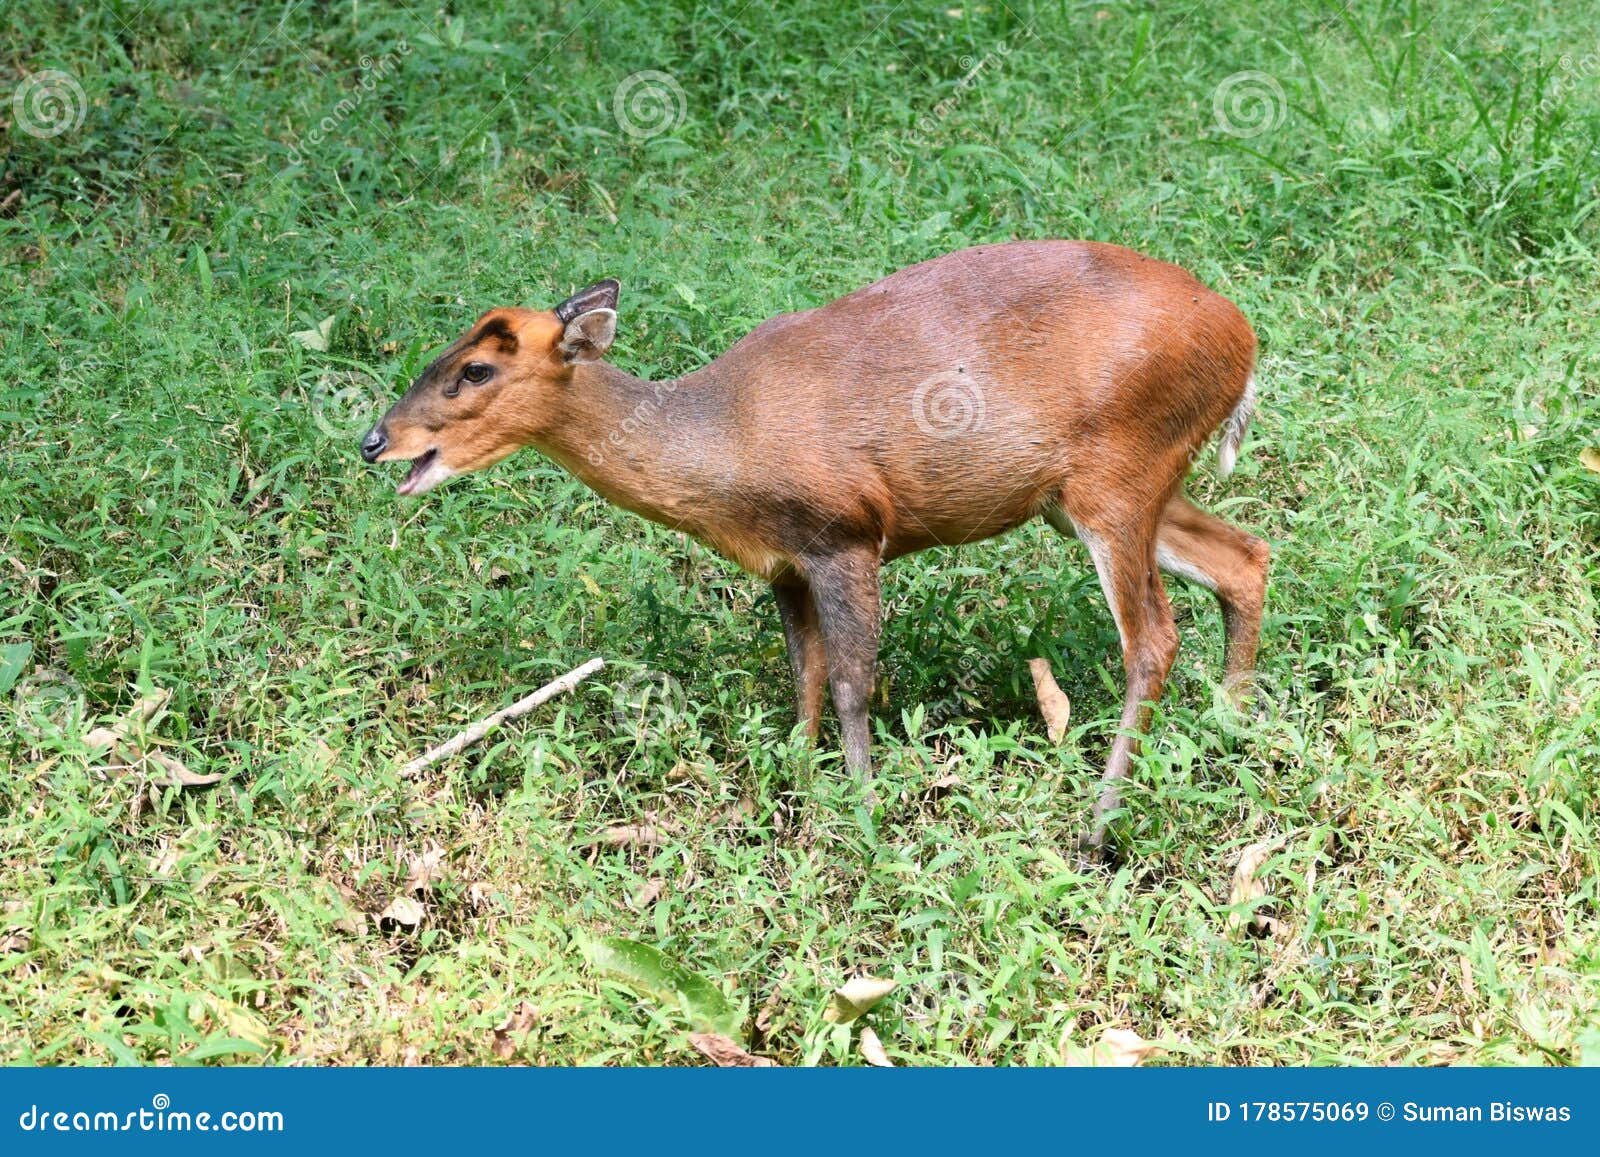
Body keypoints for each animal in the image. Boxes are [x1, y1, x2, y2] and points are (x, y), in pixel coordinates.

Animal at [360, 241, 1269, 852]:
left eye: (476, 370)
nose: (375, 441)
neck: (724, 441)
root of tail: (1245, 339)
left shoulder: (847, 532)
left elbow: (852, 686)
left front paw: (866, 824)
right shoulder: (785, 564)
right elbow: (801, 678)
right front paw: (793, 798)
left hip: (1117, 472)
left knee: (1154, 636)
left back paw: (1098, 824)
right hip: (1103, 489)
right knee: (1246, 557)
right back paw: (1228, 729)